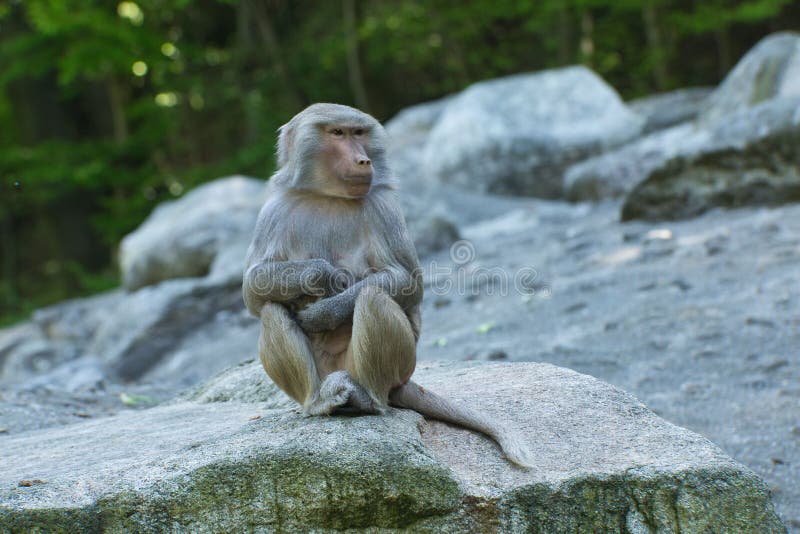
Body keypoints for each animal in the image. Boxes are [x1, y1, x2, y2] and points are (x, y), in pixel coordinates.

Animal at [242, 103, 533, 467]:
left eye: (359, 133)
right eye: (337, 133)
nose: (363, 161)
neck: (329, 197)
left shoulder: (383, 207)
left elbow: (407, 281)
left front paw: (324, 311)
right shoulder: (275, 210)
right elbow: (253, 289)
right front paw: (320, 274)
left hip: (397, 366)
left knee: (373, 298)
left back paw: (368, 400)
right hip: (323, 374)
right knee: (273, 310)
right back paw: (317, 403)